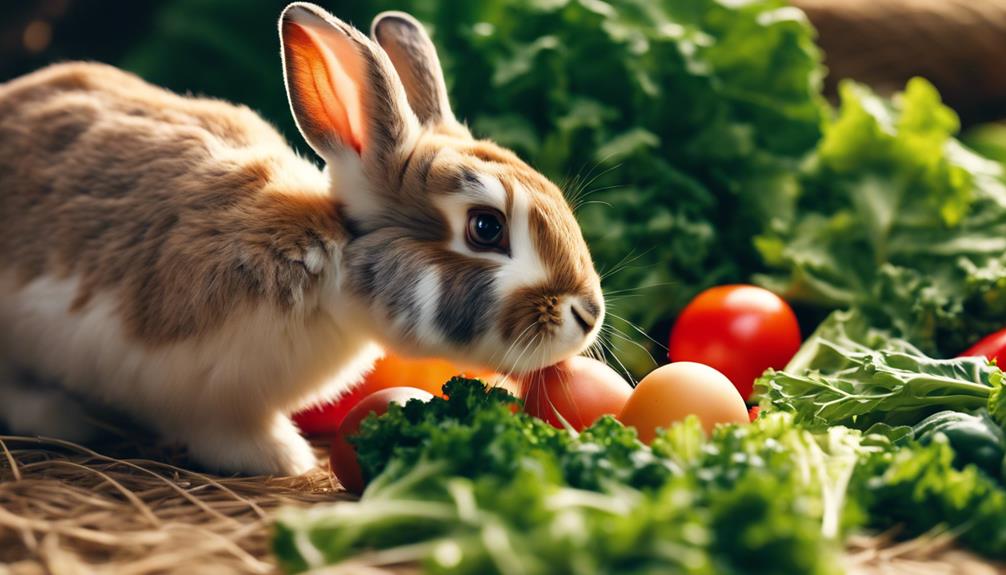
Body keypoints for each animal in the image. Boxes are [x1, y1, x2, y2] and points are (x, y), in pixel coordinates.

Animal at [0, 2, 604, 476]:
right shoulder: (192, 385)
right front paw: (282, 460)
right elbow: (219, 431)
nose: (589, 315)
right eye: (485, 228)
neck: (333, 265)